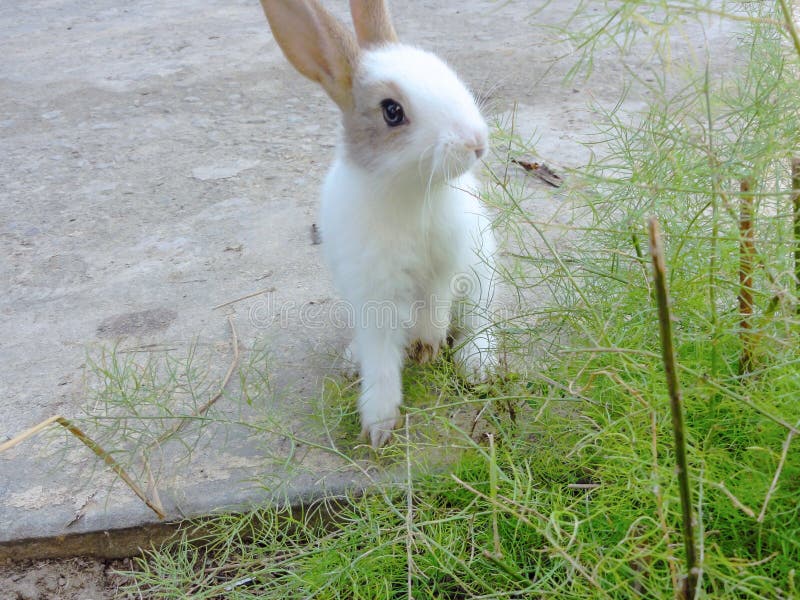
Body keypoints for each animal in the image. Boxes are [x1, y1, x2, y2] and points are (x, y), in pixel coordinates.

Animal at [259, 0, 496, 447]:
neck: (411, 192)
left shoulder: (447, 264)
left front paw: (428, 347)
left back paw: (478, 365)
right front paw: (379, 427)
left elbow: (436, 308)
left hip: (482, 274)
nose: (476, 143)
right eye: (392, 111)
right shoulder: (375, 291)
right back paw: (355, 360)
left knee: (481, 318)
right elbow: (383, 357)